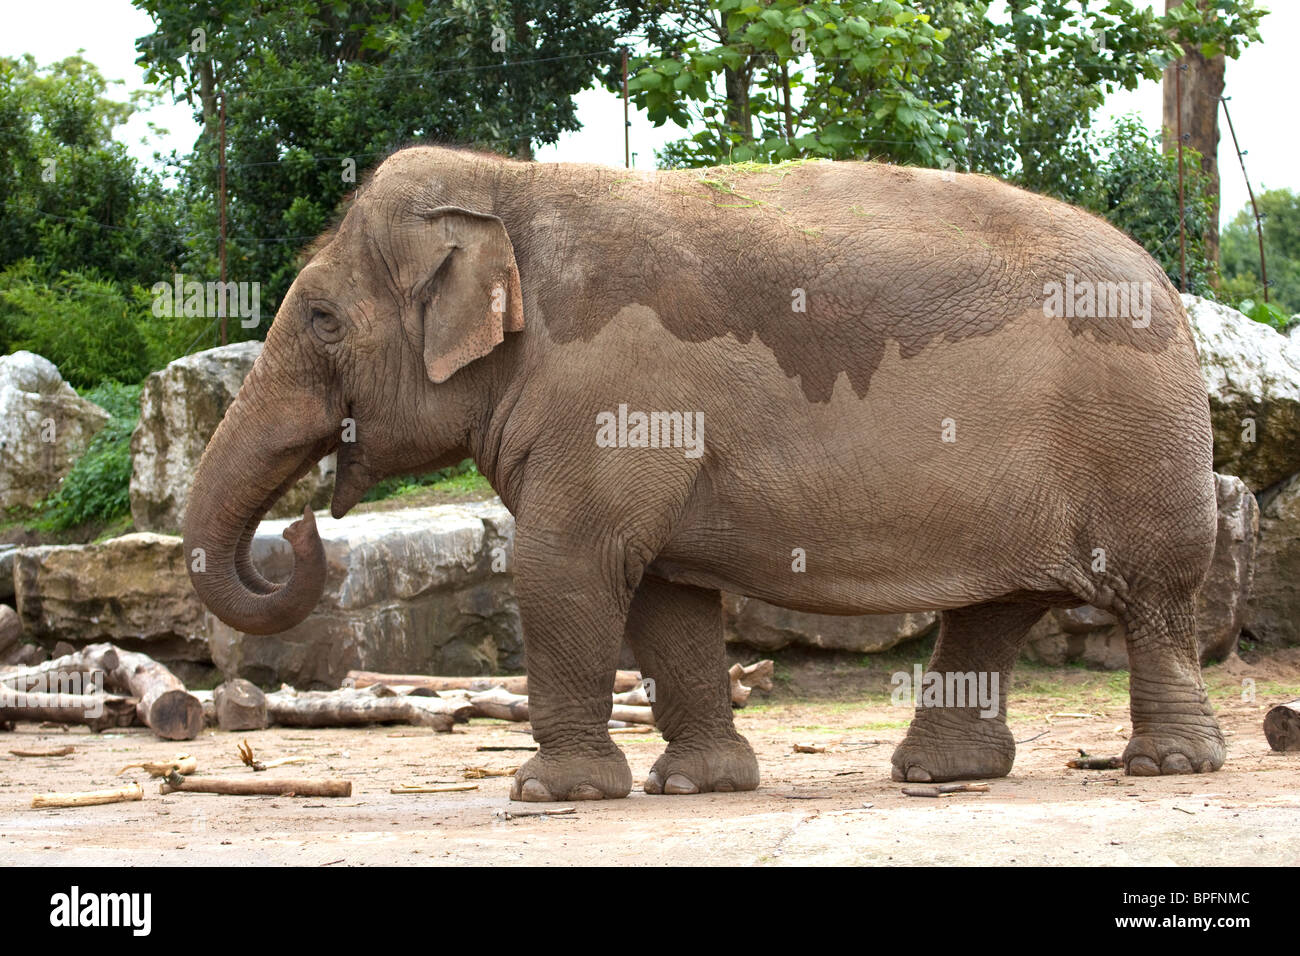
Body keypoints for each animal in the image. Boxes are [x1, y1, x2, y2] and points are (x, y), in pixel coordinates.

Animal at [183, 146, 1226, 801]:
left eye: (320, 319)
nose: (300, 531)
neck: (510, 189)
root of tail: (1168, 283)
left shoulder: (614, 393)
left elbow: (565, 563)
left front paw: (552, 793)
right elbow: (660, 589)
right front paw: (696, 784)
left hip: (1143, 441)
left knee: (1156, 596)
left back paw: (1169, 767)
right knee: (997, 606)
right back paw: (941, 775)